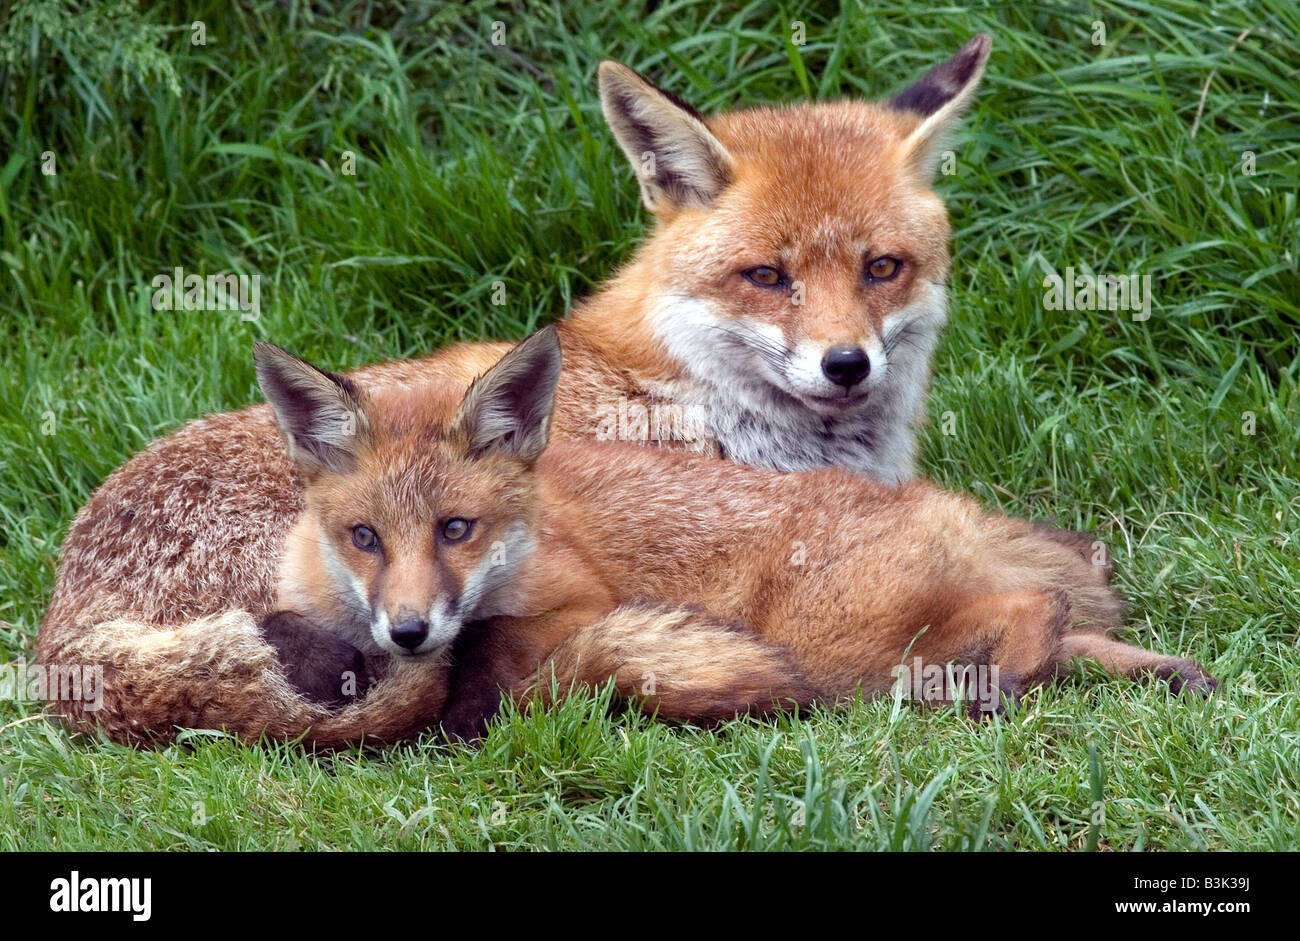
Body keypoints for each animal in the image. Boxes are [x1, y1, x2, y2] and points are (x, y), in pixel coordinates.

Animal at [254, 327, 1216, 743]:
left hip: (840, 648)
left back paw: (1011, 683)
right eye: (364, 536)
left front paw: (465, 717)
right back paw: (1167, 672)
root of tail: (929, 500)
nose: (409, 630)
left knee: (1040, 604)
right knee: (1071, 634)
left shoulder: (573, 605)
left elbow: (508, 666)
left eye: (458, 528)